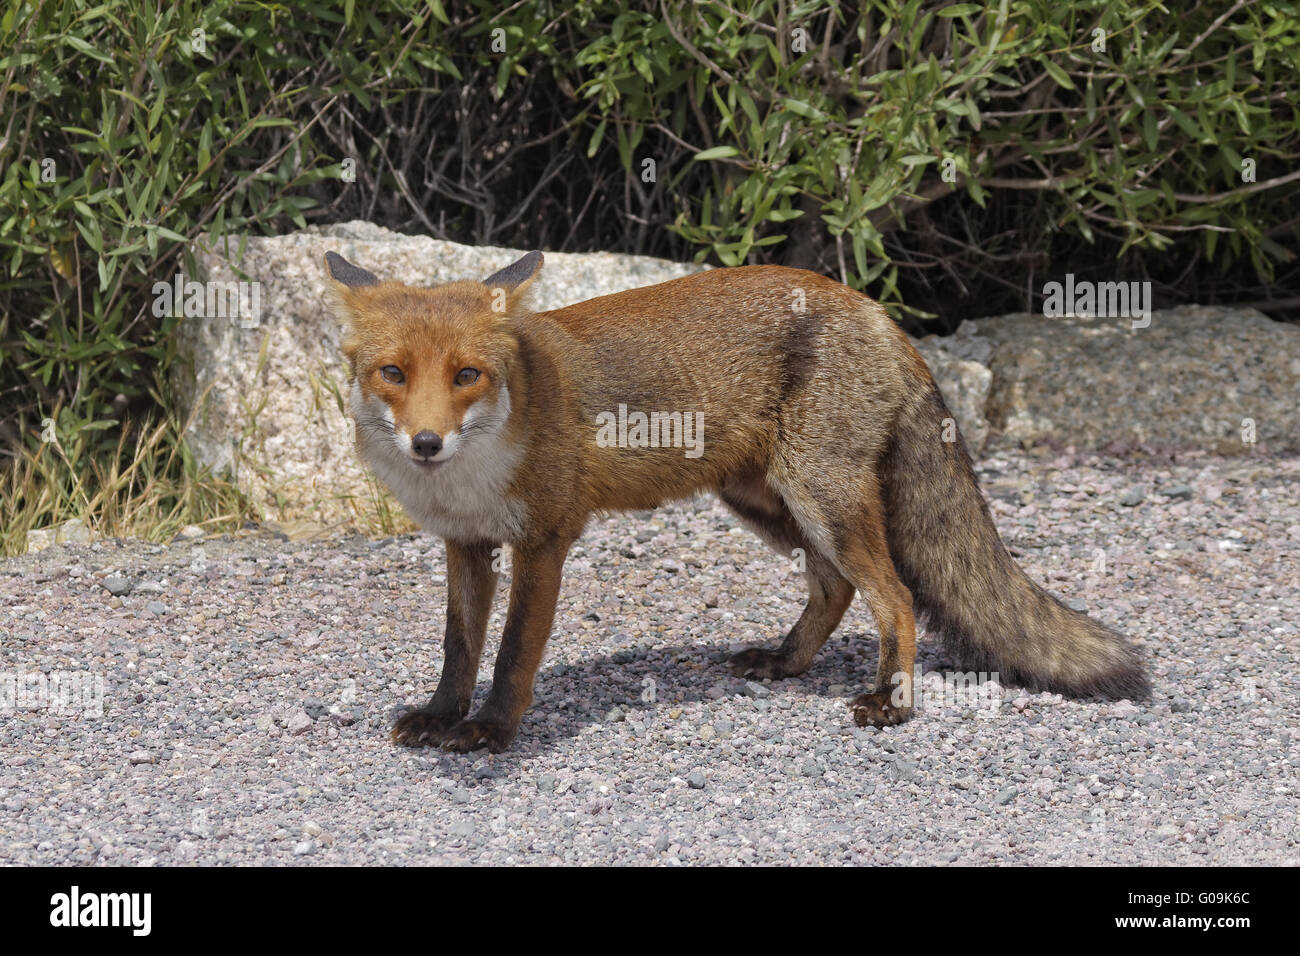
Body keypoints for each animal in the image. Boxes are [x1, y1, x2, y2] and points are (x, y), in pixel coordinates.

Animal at [323, 249, 1149, 753]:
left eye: (467, 375)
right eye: (394, 373)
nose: (427, 442)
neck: (471, 475)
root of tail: (873, 308)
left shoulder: (544, 541)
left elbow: (513, 652)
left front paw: (491, 731)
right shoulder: (465, 543)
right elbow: (458, 648)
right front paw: (441, 716)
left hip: (821, 499)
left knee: (896, 596)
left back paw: (892, 700)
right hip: (766, 503)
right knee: (835, 587)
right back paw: (785, 662)